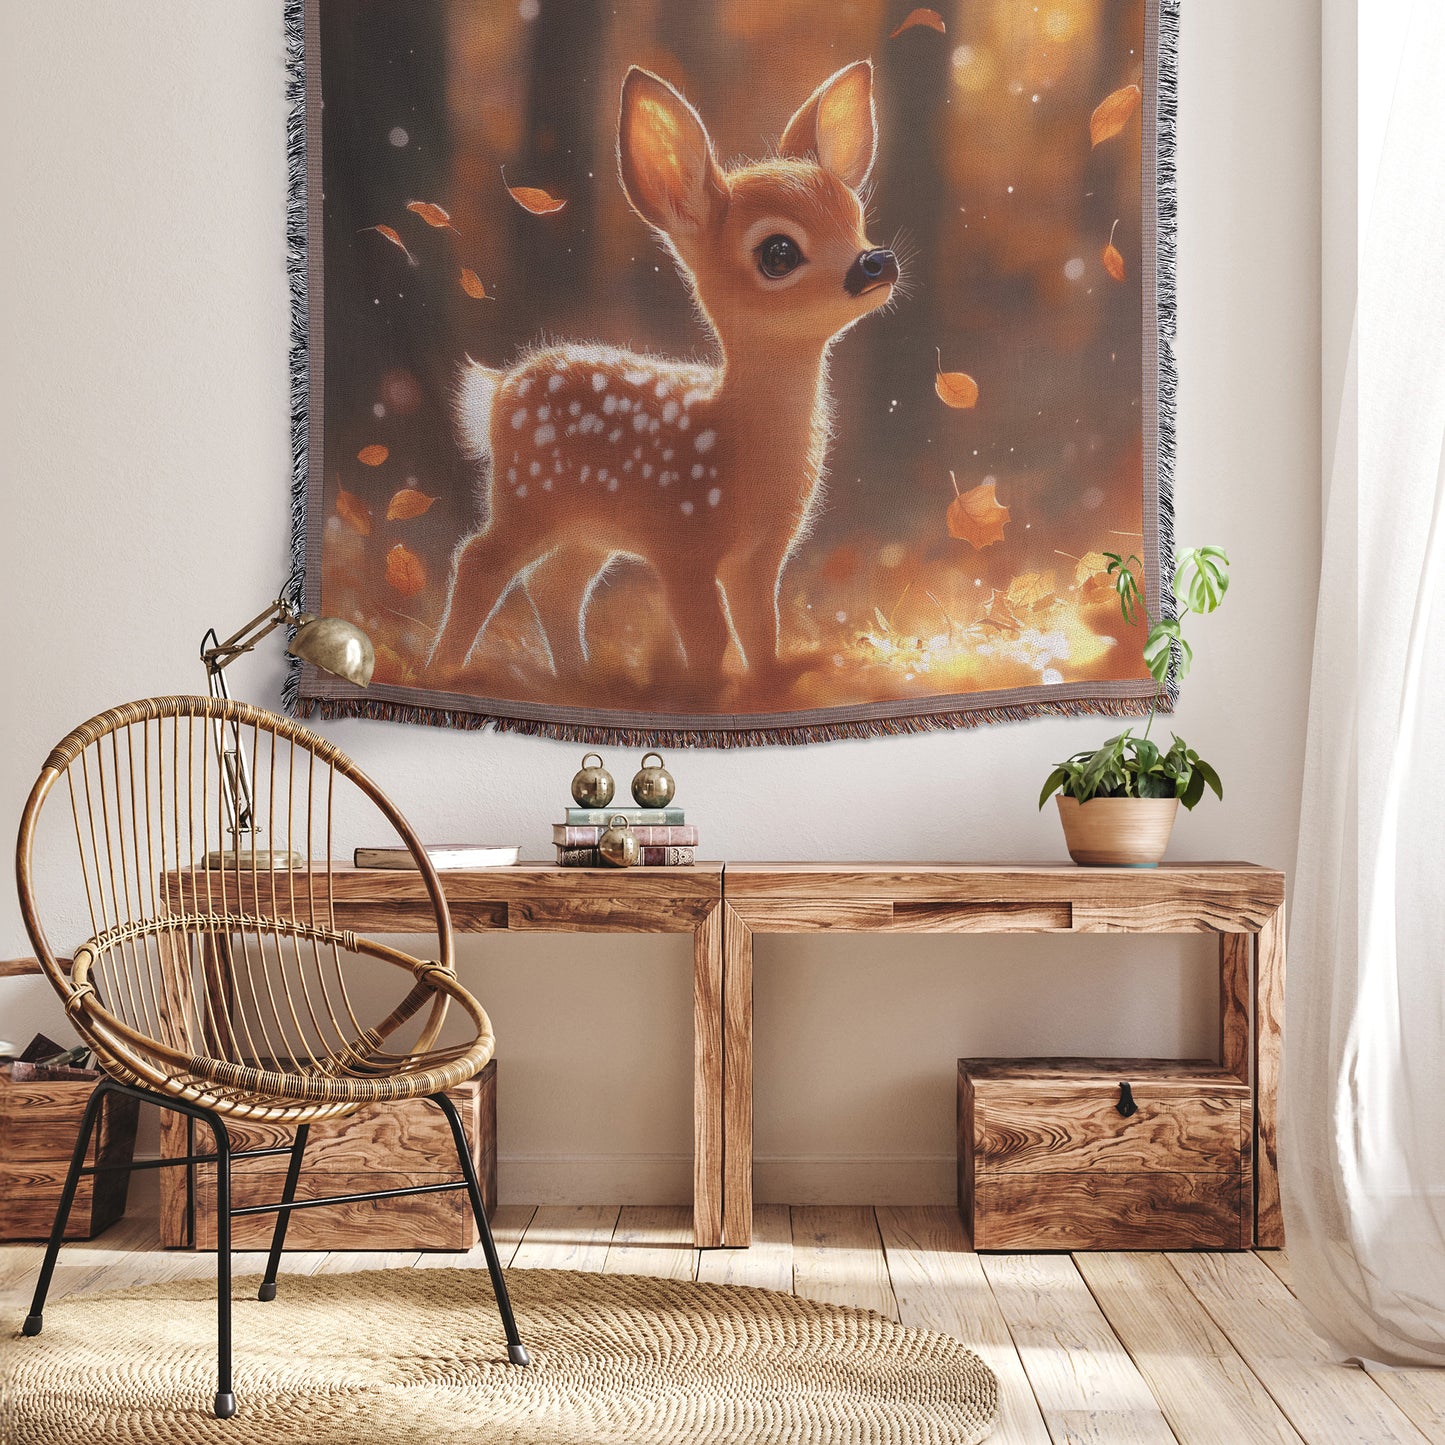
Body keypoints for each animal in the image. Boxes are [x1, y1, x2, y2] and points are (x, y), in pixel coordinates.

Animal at [429, 60, 900, 694]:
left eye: (858, 221)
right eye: (778, 252)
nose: (876, 262)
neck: (738, 447)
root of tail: (500, 389)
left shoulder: (761, 554)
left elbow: (761, 629)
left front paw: (770, 686)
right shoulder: (683, 542)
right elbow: (709, 635)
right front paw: (707, 694)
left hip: (587, 526)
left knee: (554, 584)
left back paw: (582, 682)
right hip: (529, 494)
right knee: (480, 560)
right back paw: (443, 671)